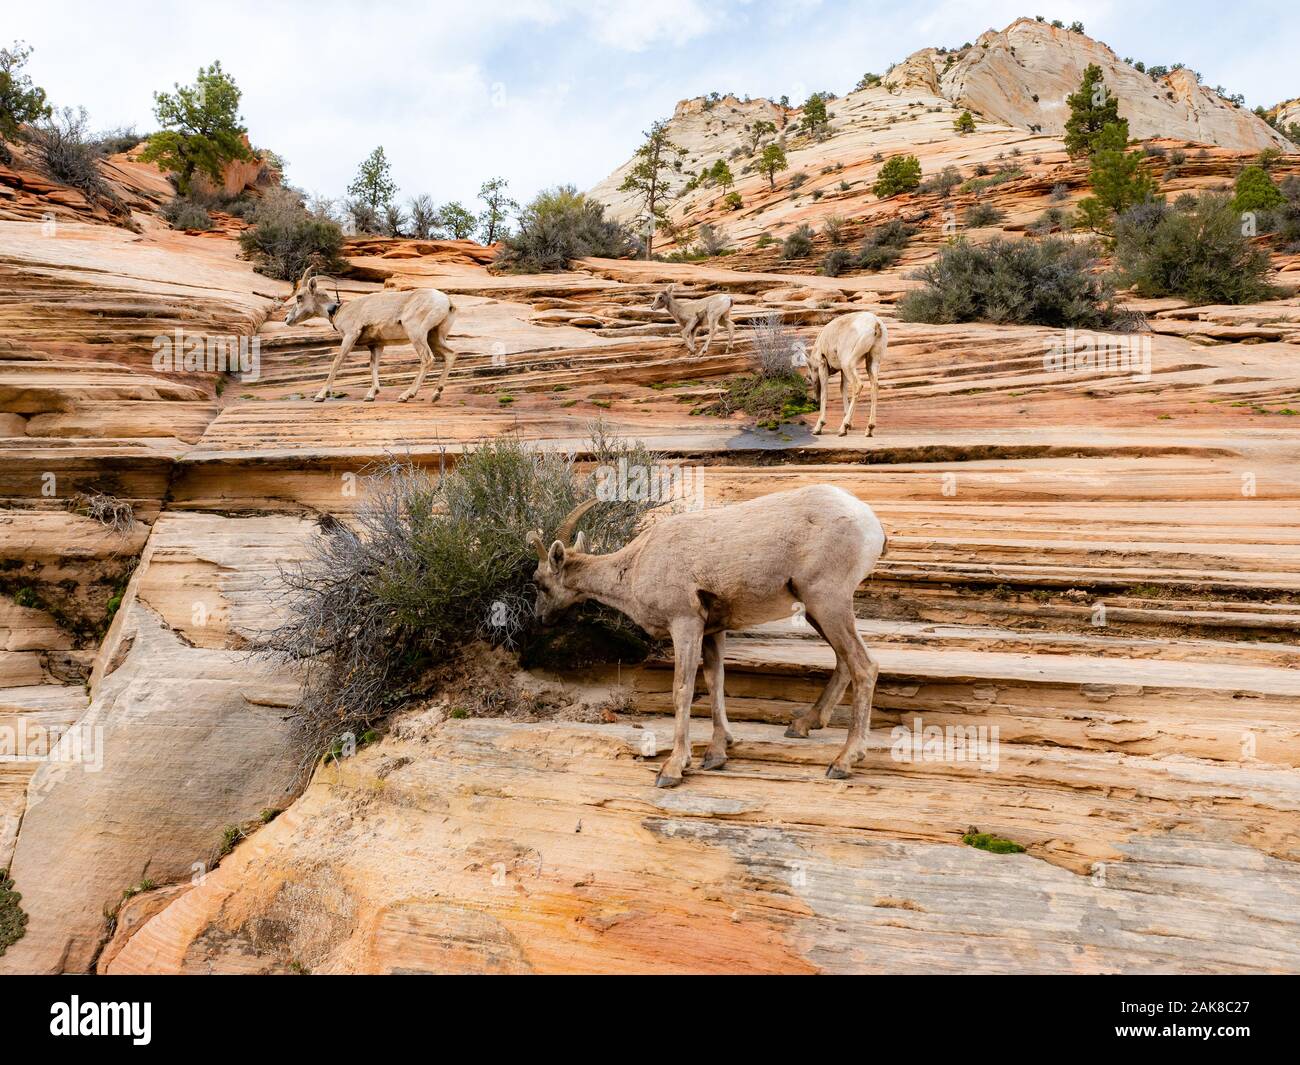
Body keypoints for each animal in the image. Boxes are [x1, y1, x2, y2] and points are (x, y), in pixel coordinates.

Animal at [282, 266, 457, 403]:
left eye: (299, 297)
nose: (286, 319)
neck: (338, 311)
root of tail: (447, 302)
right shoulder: (376, 345)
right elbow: (373, 366)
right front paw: (371, 395)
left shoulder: (350, 336)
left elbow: (337, 362)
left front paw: (320, 395)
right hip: (434, 337)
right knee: (451, 354)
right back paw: (436, 394)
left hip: (416, 334)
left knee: (428, 359)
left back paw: (406, 395)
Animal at [528, 485, 887, 787]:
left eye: (540, 583)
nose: (541, 619)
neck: (635, 565)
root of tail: (869, 521)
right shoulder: (713, 631)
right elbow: (716, 682)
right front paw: (717, 753)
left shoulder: (685, 624)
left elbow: (682, 690)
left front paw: (673, 768)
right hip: (817, 611)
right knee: (844, 661)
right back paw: (802, 726)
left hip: (827, 602)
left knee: (864, 666)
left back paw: (843, 762)